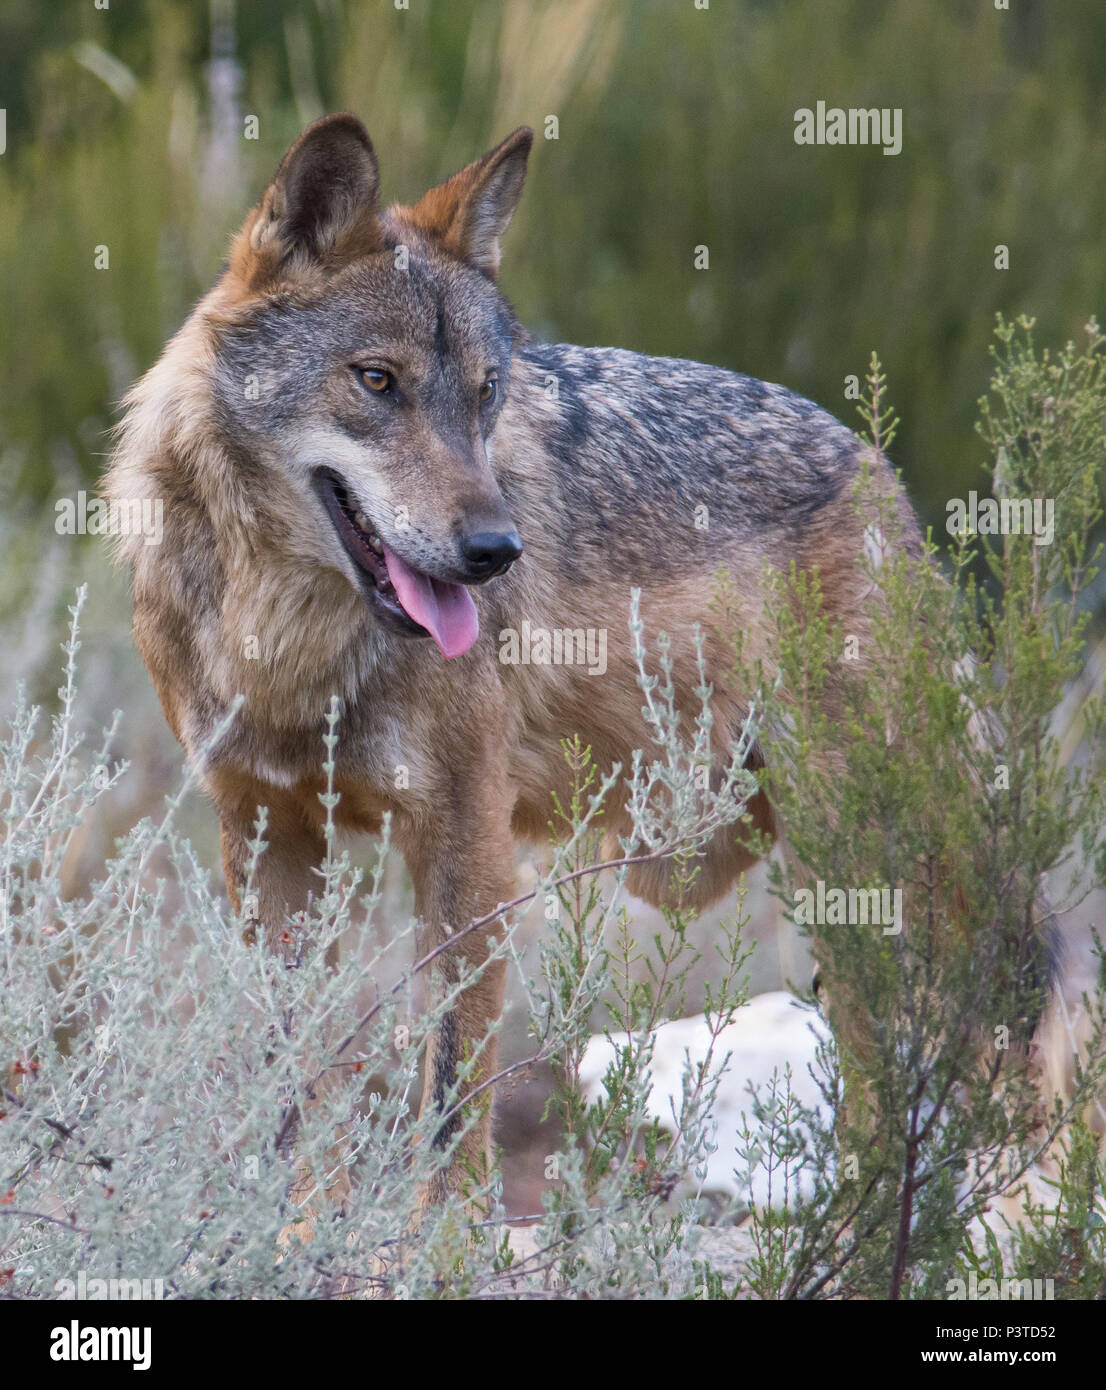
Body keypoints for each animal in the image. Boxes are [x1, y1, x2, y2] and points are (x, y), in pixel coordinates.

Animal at [105, 113, 988, 1212]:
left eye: (485, 393)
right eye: (377, 380)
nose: (495, 551)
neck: (286, 641)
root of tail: (875, 462)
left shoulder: (467, 843)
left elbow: (449, 1104)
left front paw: (436, 1239)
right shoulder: (264, 837)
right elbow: (290, 1089)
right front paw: (285, 1229)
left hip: (853, 865)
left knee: (915, 1060)